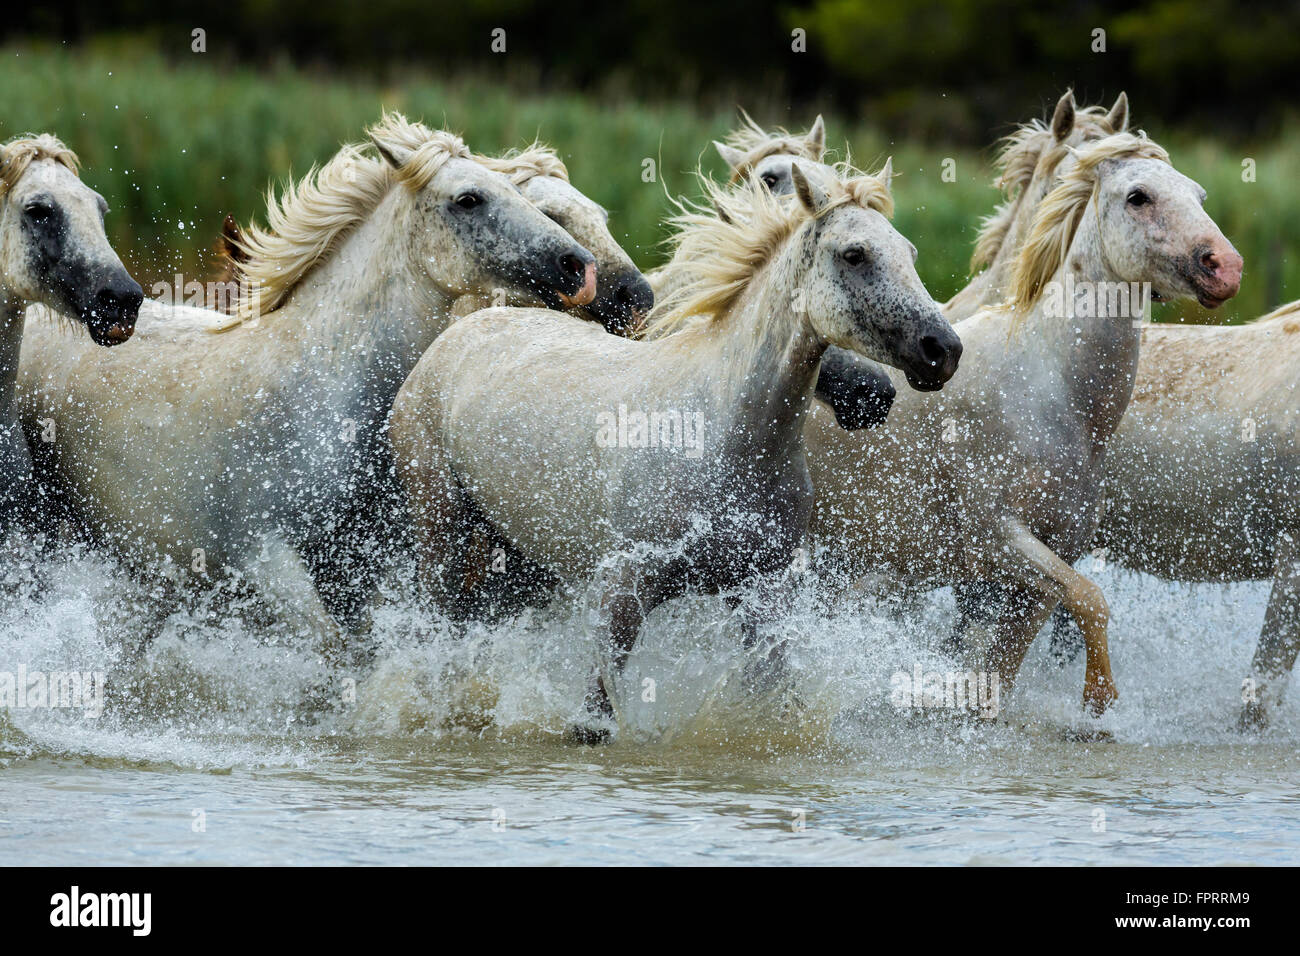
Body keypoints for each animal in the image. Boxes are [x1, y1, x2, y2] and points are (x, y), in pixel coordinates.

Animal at [388, 163, 962, 741]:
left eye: (910, 253)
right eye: (854, 254)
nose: (943, 350)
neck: (725, 437)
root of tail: (457, 334)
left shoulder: (764, 598)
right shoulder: (621, 597)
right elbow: (598, 719)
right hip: (440, 531)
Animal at [803, 132, 1242, 717]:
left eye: (1199, 195)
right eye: (1138, 196)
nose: (1226, 268)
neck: (1053, 396)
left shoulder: (1044, 565)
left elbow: (1003, 673)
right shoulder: (996, 536)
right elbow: (1090, 598)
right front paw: (1098, 697)